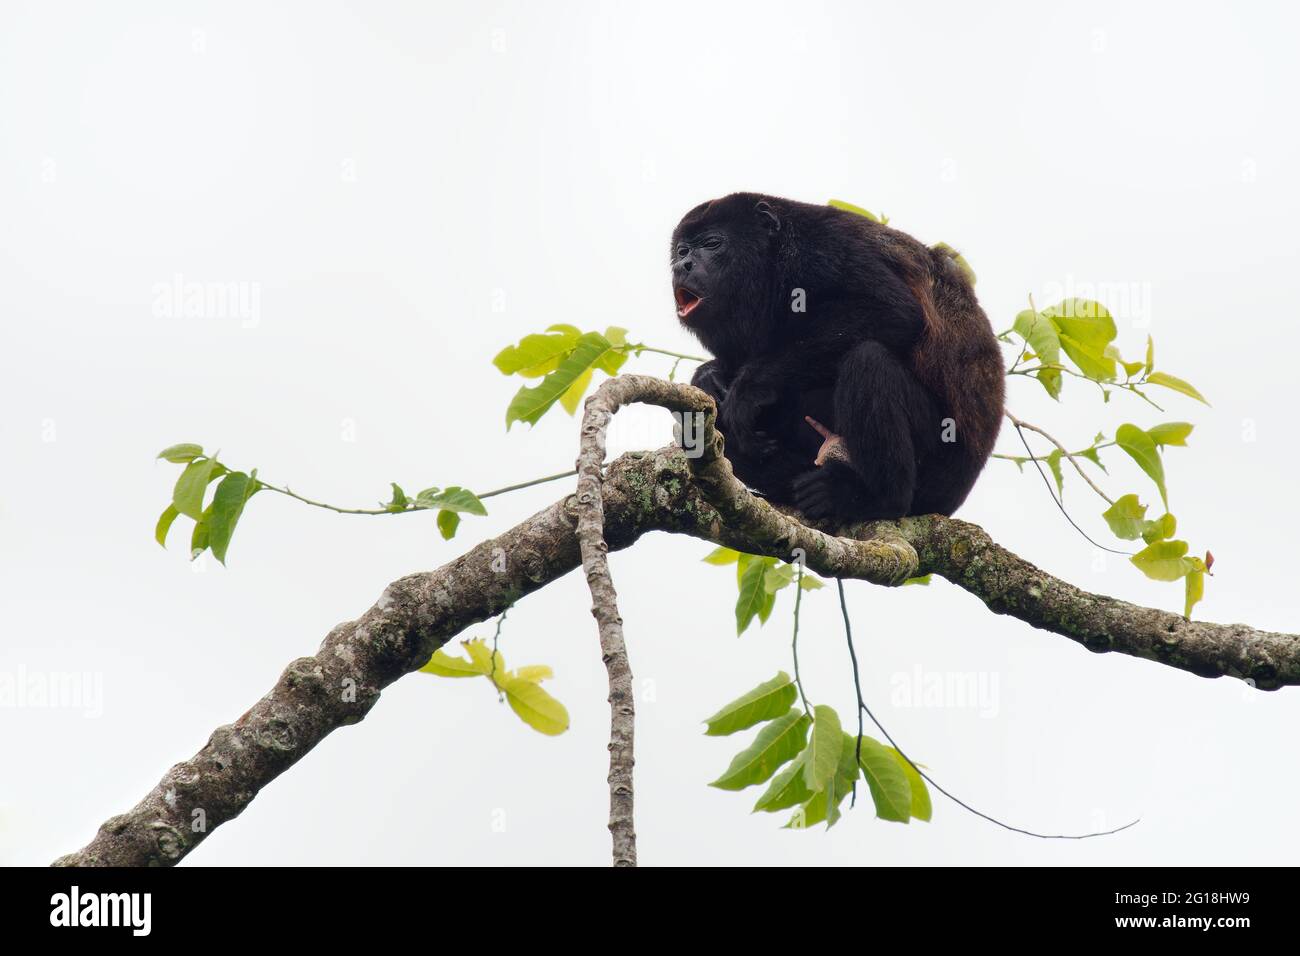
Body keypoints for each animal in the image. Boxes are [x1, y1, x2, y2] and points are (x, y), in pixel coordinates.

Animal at [670, 192, 1004, 525]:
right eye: (682, 251)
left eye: (712, 243)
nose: (682, 265)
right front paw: (709, 377)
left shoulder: (823, 246)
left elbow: (894, 311)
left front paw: (748, 390)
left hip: (937, 465)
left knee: (869, 362)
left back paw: (872, 498)